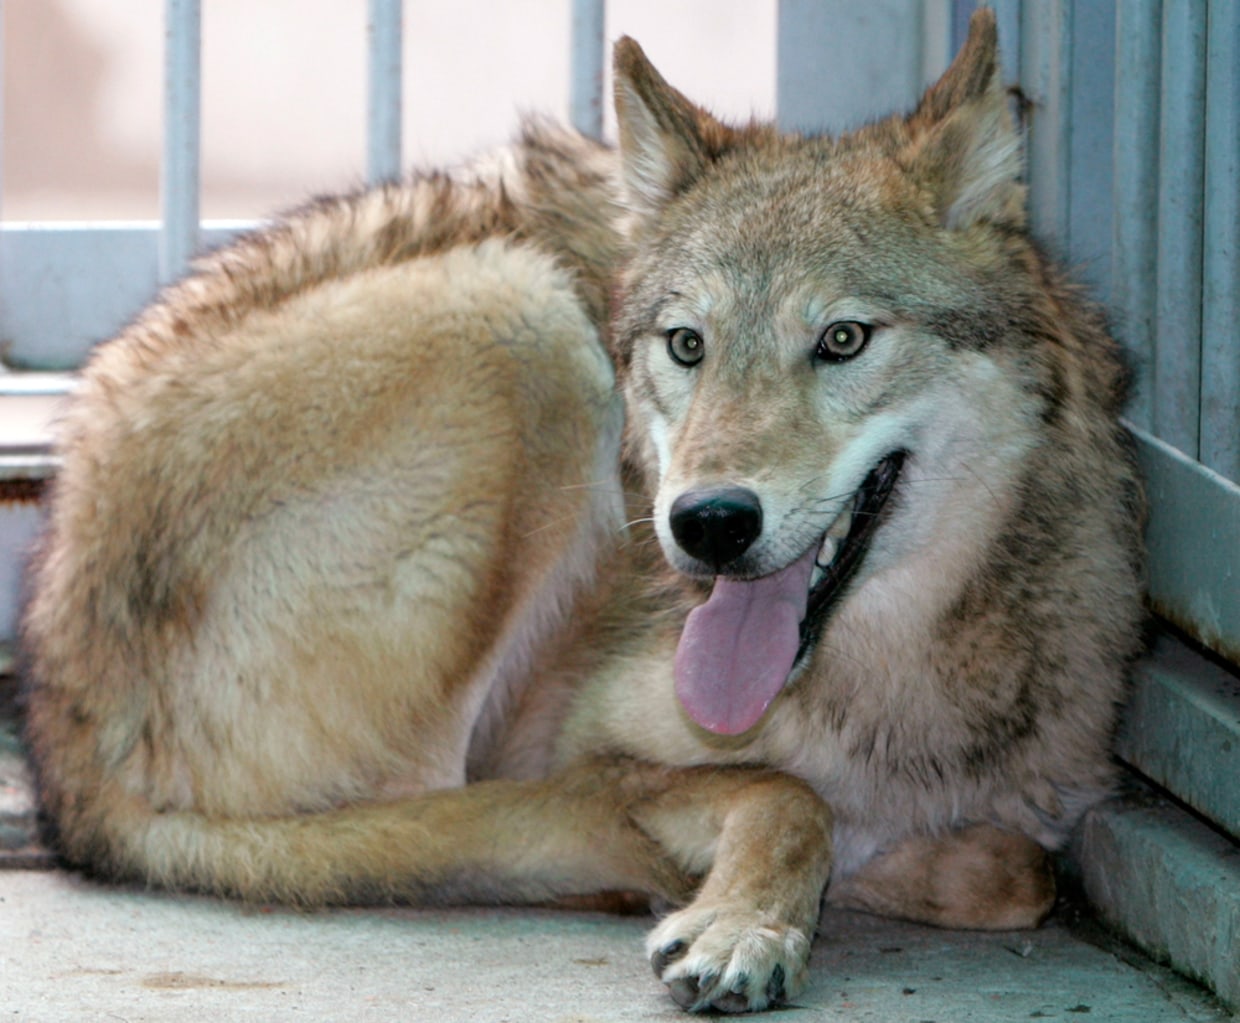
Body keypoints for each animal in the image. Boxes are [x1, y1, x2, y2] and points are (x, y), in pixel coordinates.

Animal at [22, 10, 1143, 1014]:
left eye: (843, 340)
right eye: (687, 345)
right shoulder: (580, 746)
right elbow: (791, 796)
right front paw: (744, 922)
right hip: (524, 320)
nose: (706, 523)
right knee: (412, 817)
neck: (897, 684)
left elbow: (1015, 867)